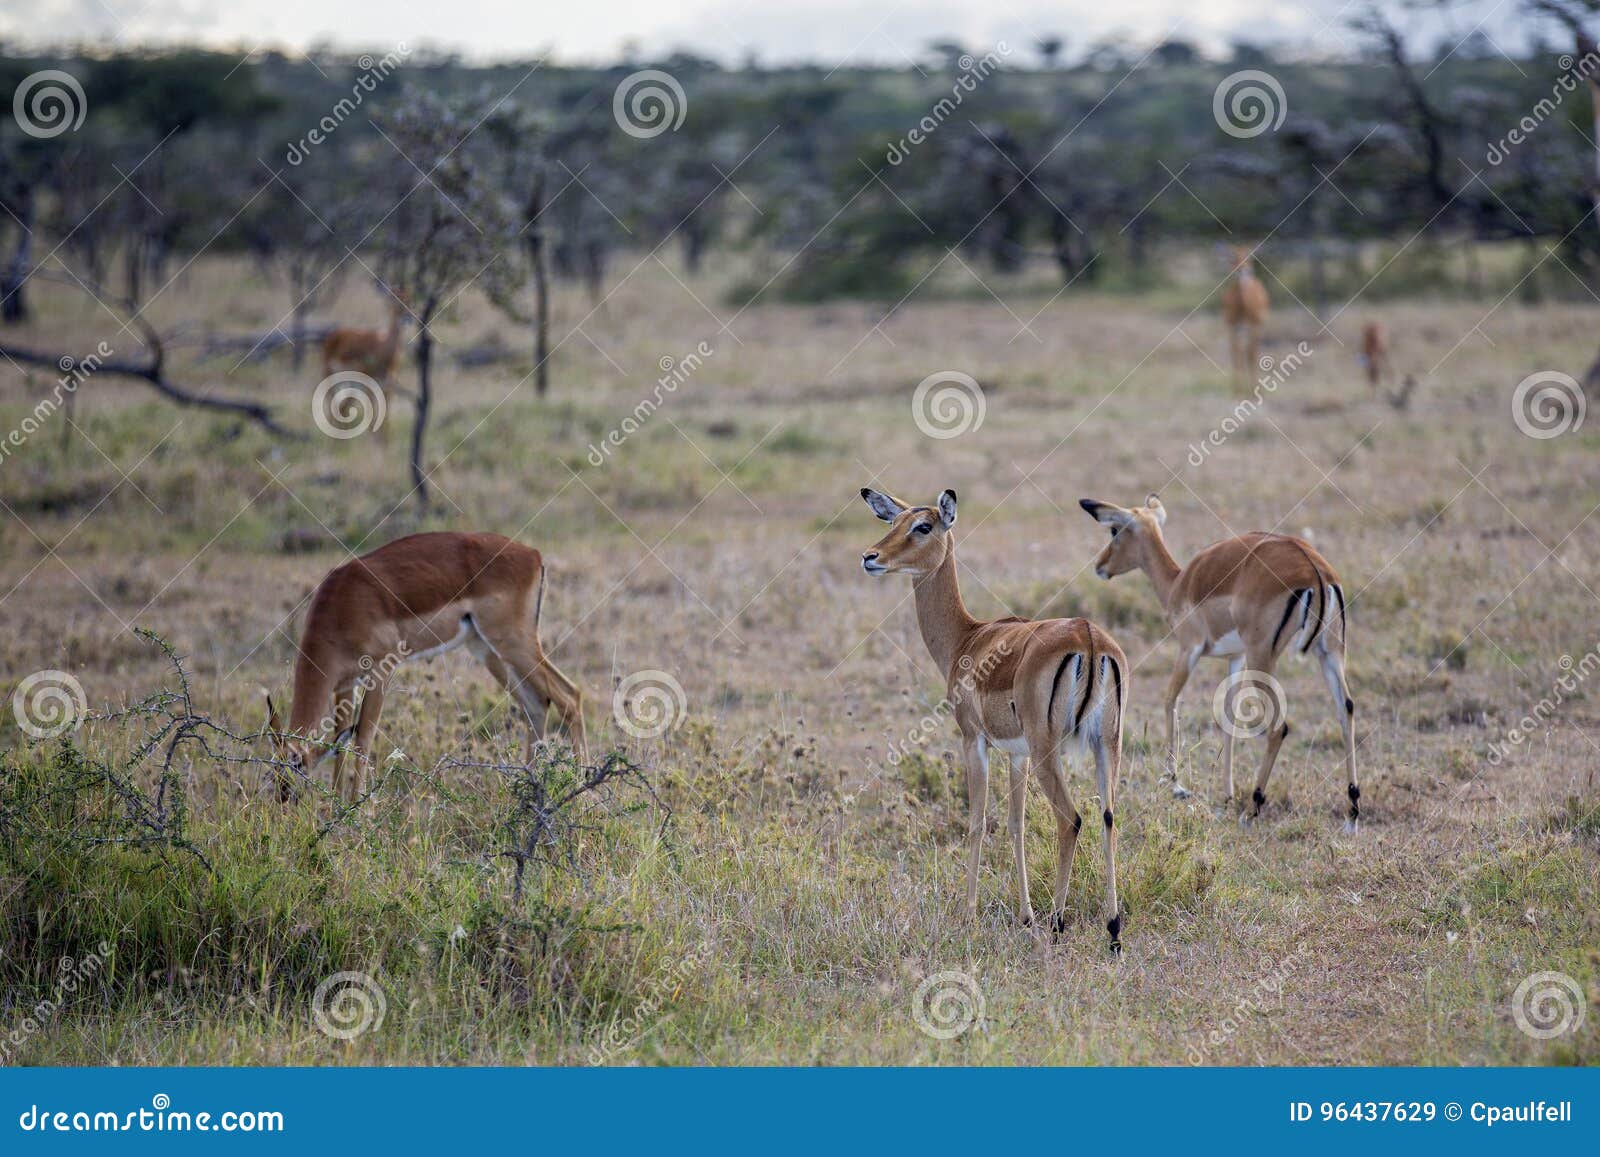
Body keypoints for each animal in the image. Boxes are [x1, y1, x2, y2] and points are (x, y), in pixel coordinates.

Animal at [266, 531, 587, 803]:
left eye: (296, 767)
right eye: (272, 768)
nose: (282, 800)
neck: (342, 606)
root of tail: (532, 554)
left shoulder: (381, 670)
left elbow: (362, 738)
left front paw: (356, 811)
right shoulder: (344, 685)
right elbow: (341, 743)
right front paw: (334, 808)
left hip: (514, 643)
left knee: (571, 696)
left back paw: (581, 793)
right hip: (487, 650)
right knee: (536, 704)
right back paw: (529, 793)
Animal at [859, 487, 1127, 952]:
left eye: (923, 526)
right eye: (892, 522)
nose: (870, 557)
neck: (968, 637)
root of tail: (1088, 637)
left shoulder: (974, 741)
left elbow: (977, 821)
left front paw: (968, 915)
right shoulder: (1016, 754)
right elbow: (1016, 825)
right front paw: (1024, 915)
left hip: (1049, 750)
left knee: (1070, 818)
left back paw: (1058, 923)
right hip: (1106, 745)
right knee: (1108, 817)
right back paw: (1111, 930)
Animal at [1078, 494, 1359, 831]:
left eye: (1114, 530)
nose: (1099, 565)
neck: (1178, 583)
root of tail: (1316, 571)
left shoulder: (1189, 649)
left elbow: (1170, 700)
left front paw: (1175, 784)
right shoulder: (1234, 657)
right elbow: (1228, 717)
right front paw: (1226, 794)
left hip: (1263, 656)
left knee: (1279, 726)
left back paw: (1253, 806)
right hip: (1329, 651)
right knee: (1346, 708)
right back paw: (1353, 809)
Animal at [1220, 245, 1269, 391]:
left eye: (1250, 257)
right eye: (1233, 258)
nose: (1242, 269)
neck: (1243, 308)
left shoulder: (1255, 326)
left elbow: (1252, 354)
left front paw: (1253, 389)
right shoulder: (1233, 326)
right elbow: (1237, 354)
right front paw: (1237, 390)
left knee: (1250, 351)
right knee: (1239, 353)